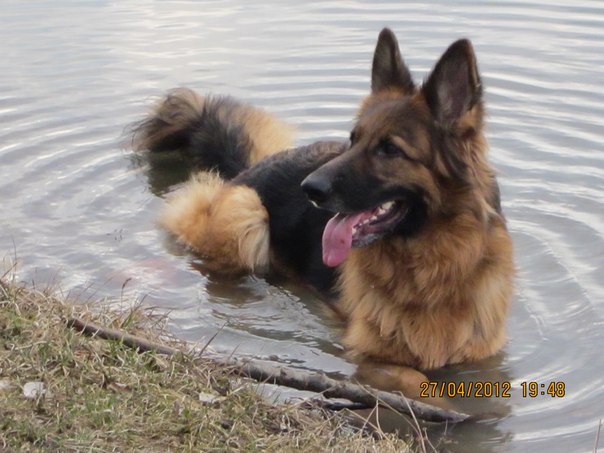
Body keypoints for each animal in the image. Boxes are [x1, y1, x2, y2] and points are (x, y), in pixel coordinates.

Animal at [132, 28, 514, 390]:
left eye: (390, 149)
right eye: (353, 139)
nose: (309, 189)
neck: (431, 265)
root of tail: (250, 167)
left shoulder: (481, 357)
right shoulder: (368, 356)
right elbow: (416, 381)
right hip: (246, 211)